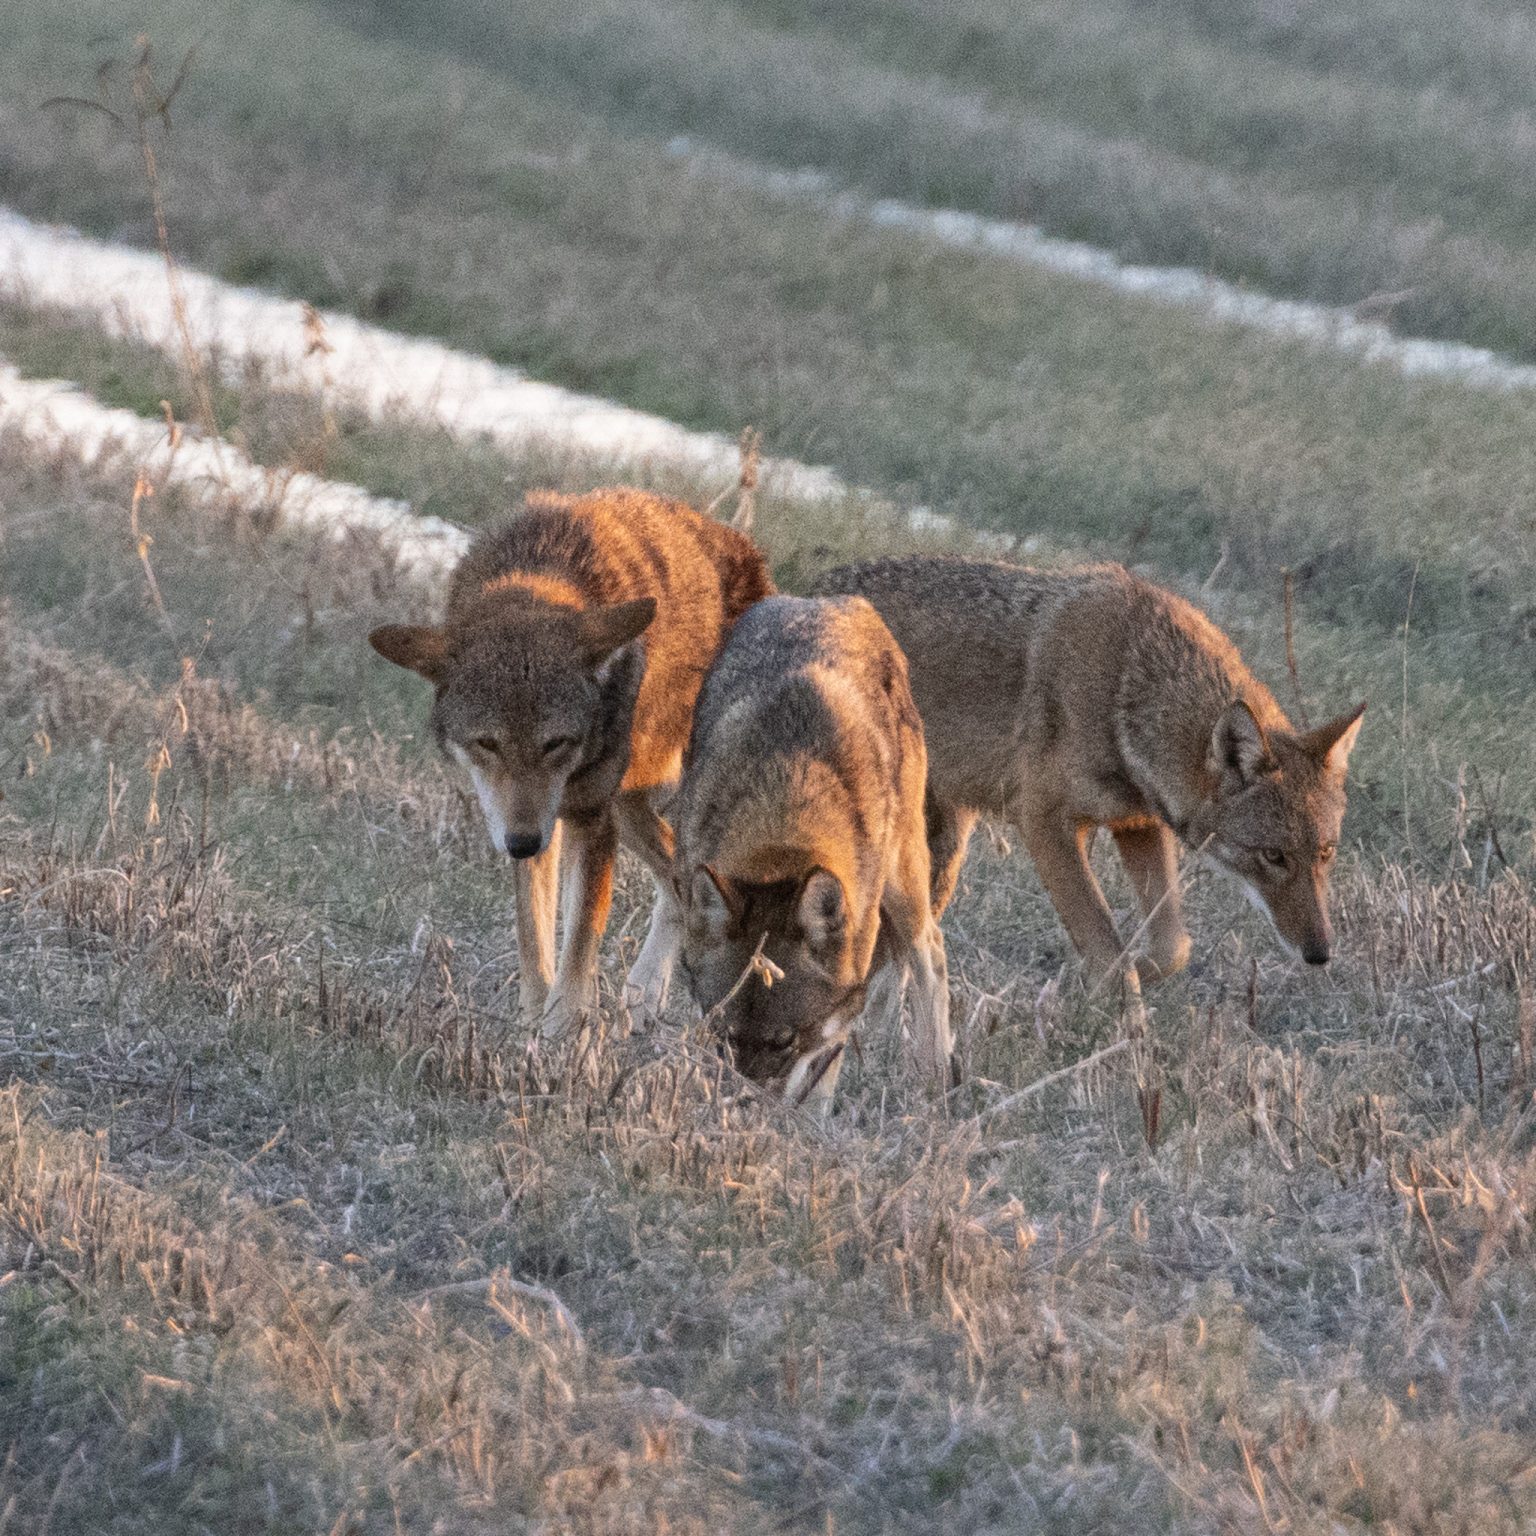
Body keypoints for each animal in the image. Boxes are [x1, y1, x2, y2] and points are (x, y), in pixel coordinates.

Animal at [370, 488, 772, 1037]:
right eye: (487, 744)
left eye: (556, 743)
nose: (521, 842)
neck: (543, 575)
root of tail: (748, 550)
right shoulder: (537, 821)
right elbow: (533, 939)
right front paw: (531, 1029)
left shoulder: (587, 819)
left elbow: (578, 944)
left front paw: (564, 1037)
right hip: (627, 806)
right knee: (677, 880)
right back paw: (644, 998)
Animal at [672, 594, 951, 1111]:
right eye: (725, 1034)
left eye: (785, 1040)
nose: (744, 1107)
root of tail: (837, 603)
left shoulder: (850, 979)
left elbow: (826, 1060)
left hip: (903, 885)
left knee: (931, 953)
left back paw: (938, 1075)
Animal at [810, 557, 1365, 998]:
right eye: (1272, 856)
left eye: (1326, 854)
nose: (1321, 953)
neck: (1130, 687)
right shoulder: (1044, 824)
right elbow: (1113, 959)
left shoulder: (1138, 825)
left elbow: (1172, 948)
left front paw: (1102, 982)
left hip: (938, 863)